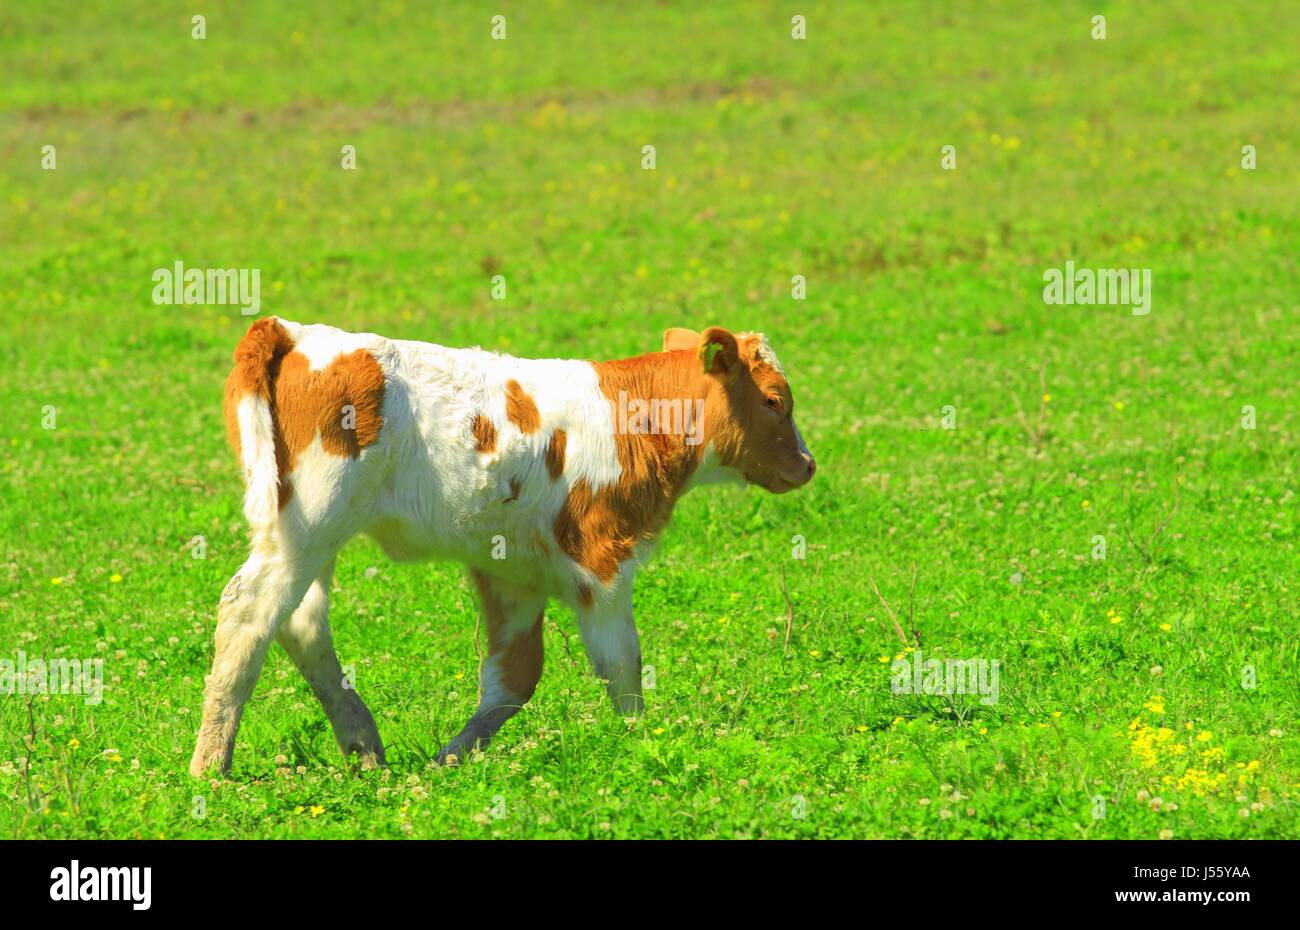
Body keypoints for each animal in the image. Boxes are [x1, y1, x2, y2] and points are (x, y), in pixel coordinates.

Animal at [190, 318, 815, 776]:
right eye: (774, 401)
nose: (808, 465)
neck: (630, 417)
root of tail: (291, 331)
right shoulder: (602, 560)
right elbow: (621, 663)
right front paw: (642, 742)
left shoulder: (514, 573)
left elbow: (514, 677)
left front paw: (449, 758)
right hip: (309, 526)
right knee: (249, 611)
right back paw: (211, 765)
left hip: (310, 536)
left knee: (301, 622)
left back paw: (364, 746)